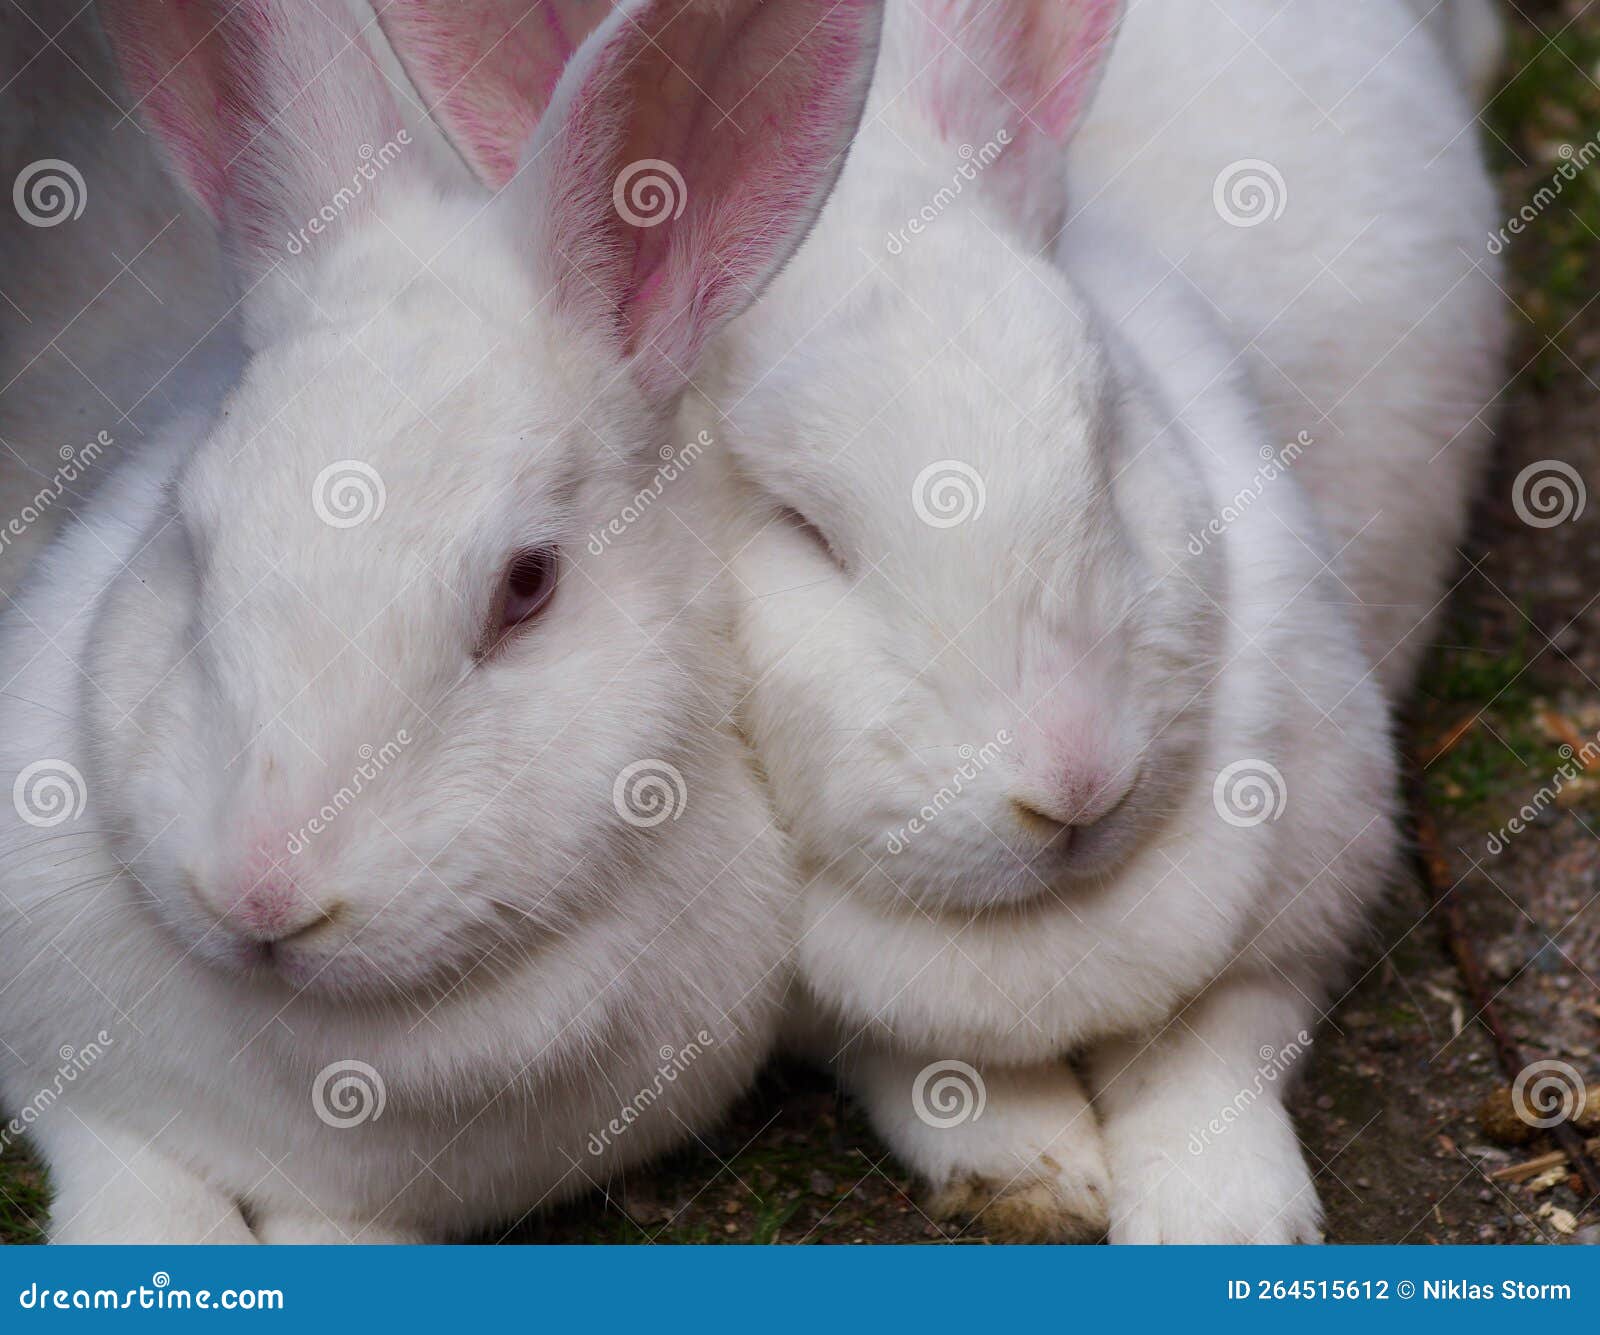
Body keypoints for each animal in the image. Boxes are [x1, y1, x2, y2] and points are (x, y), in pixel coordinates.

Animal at [692, 0, 1504, 1242]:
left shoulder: (1293, 917)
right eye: (800, 528)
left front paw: (1221, 1222)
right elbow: (916, 1069)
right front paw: (1039, 1178)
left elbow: (1210, 1058)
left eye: (1107, 436)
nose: (1072, 776)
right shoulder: (823, 1012)